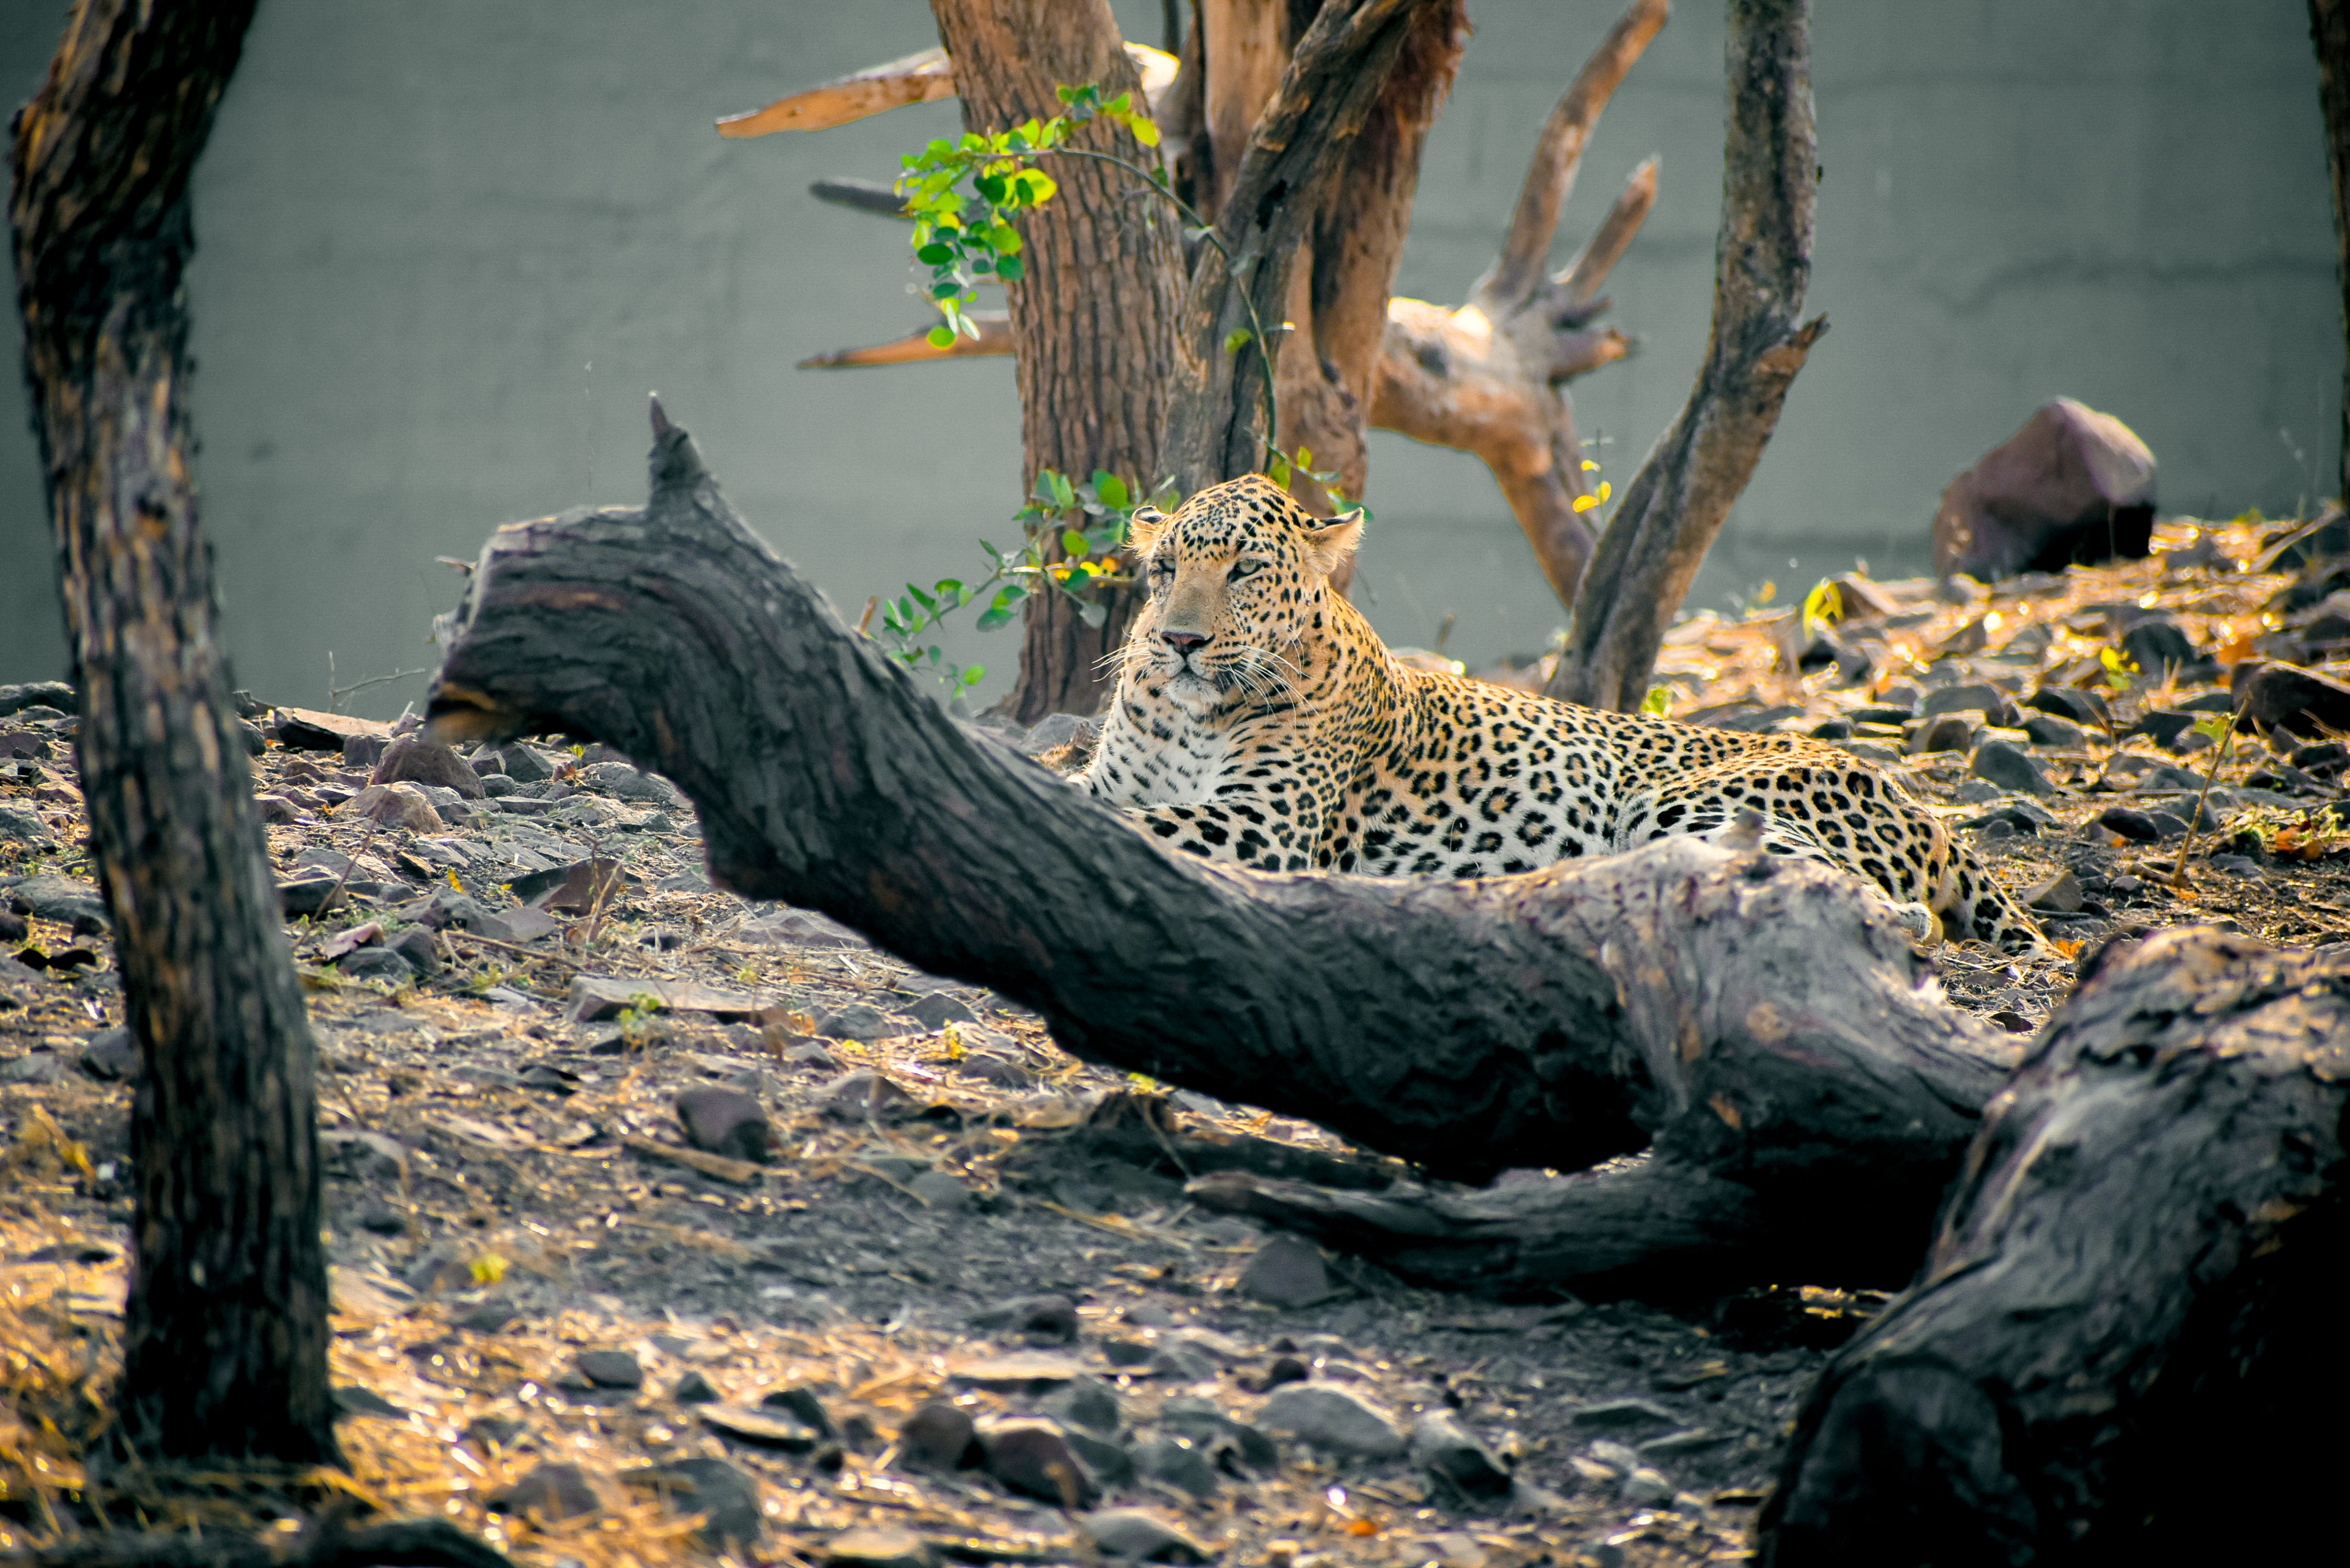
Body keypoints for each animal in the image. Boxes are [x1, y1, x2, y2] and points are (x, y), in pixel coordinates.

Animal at [1074, 473, 2043, 952]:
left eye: (1242, 570)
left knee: (1881, 909)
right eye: (1164, 570)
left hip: (1687, 805)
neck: (1191, 716)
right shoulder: (1118, 776)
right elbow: (1093, 796)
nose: (1180, 641)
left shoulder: (1265, 823)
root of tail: (1916, 804)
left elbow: (1145, 823)